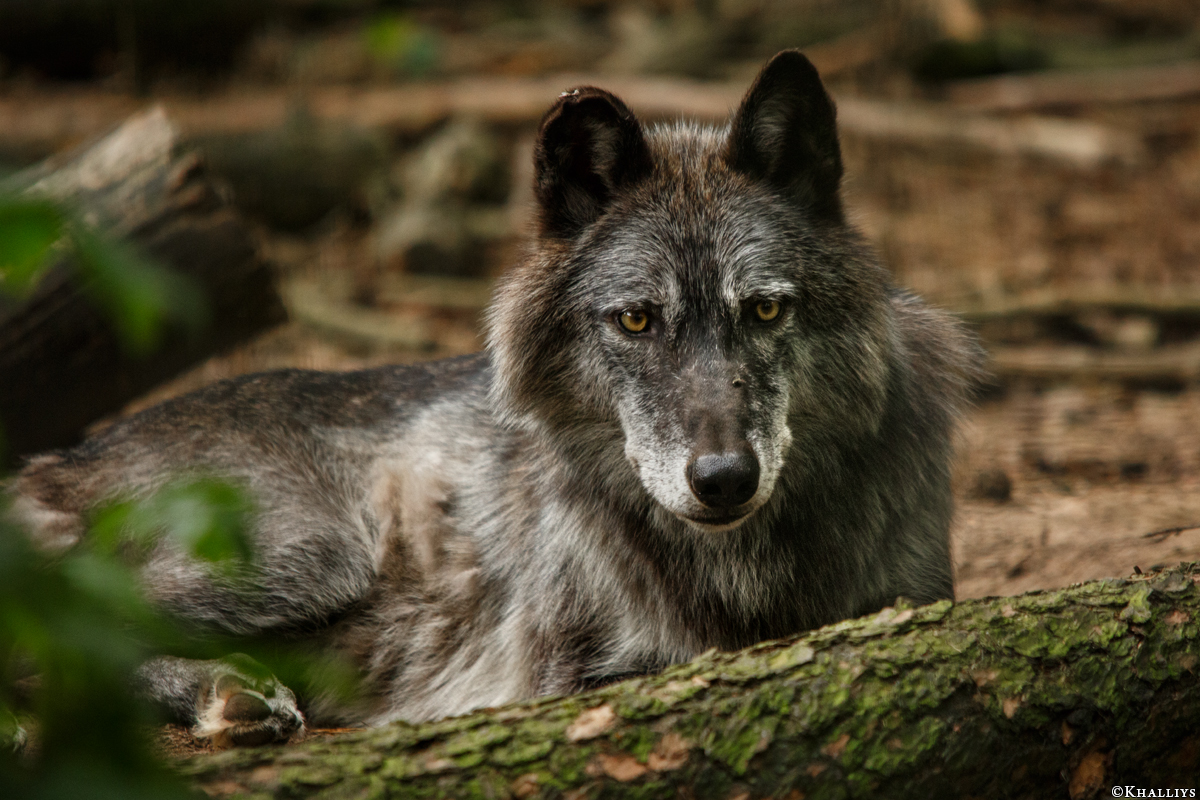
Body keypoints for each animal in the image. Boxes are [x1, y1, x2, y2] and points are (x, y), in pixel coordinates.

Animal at [8, 51, 981, 746]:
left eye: (767, 309)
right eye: (635, 320)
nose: (723, 479)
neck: (745, 575)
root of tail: (56, 458)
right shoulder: (573, 684)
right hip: (306, 551)